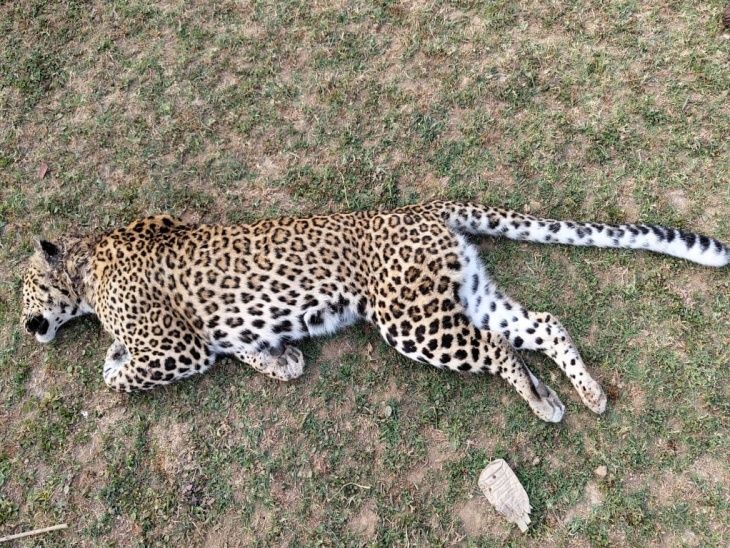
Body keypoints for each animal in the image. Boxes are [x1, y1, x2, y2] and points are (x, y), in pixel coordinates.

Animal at [21, 201, 729, 422]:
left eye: (24, 291)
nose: (27, 328)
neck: (86, 264)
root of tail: (421, 208)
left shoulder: (178, 348)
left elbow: (122, 374)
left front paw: (110, 366)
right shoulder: (210, 335)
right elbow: (245, 347)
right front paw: (284, 360)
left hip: (413, 322)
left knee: (499, 350)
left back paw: (544, 400)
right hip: (471, 295)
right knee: (544, 325)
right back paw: (586, 394)